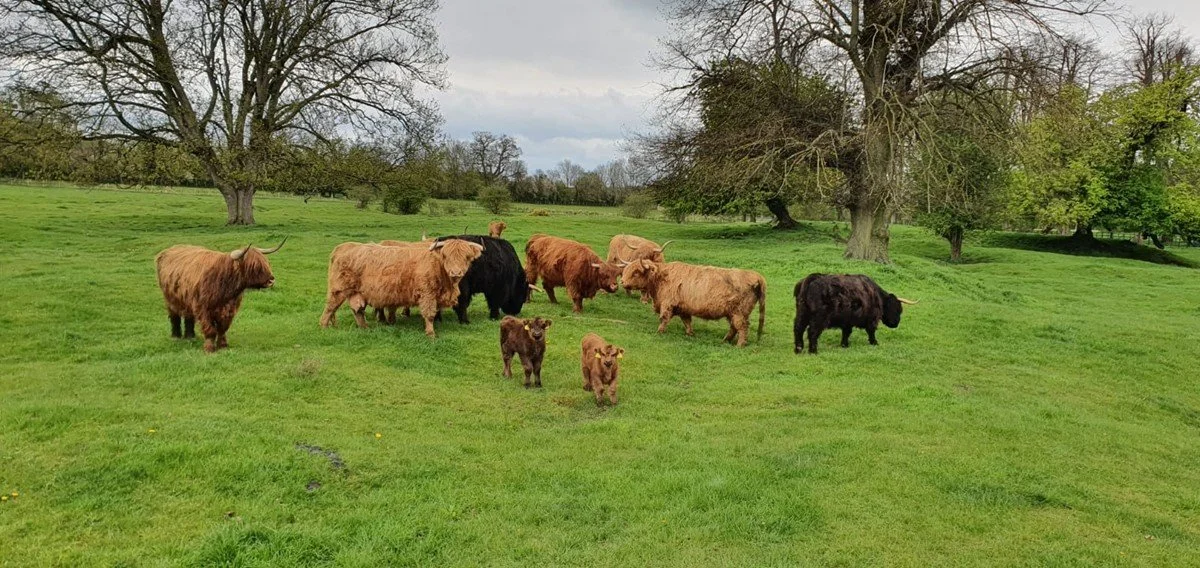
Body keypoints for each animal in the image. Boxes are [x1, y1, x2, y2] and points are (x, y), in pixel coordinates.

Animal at [155, 238, 286, 353]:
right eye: (254, 266)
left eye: (267, 263)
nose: (271, 280)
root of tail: (168, 250)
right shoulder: (203, 308)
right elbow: (210, 330)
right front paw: (209, 348)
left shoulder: (229, 310)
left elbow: (222, 329)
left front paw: (223, 346)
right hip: (170, 299)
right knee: (174, 316)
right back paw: (176, 336)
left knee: (188, 317)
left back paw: (190, 336)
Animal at [319, 239, 483, 337]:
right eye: (446, 256)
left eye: (466, 257)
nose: (456, 272)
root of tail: (344, 246)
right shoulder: (427, 294)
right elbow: (429, 314)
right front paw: (431, 333)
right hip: (338, 290)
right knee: (330, 308)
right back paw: (324, 327)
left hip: (357, 292)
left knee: (358, 310)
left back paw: (365, 328)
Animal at [620, 259, 766, 347]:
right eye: (627, 269)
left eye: (636, 272)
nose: (622, 281)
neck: (660, 279)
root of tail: (756, 276)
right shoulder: (683, 307)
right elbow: (687, 321)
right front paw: (690, 334)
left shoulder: (667, 304)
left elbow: (664, 318)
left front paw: (660, 331)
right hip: (732, 313)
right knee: (734, 327)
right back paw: (725, 340)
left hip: (738, 312)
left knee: (742, 327)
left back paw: (739, 345)